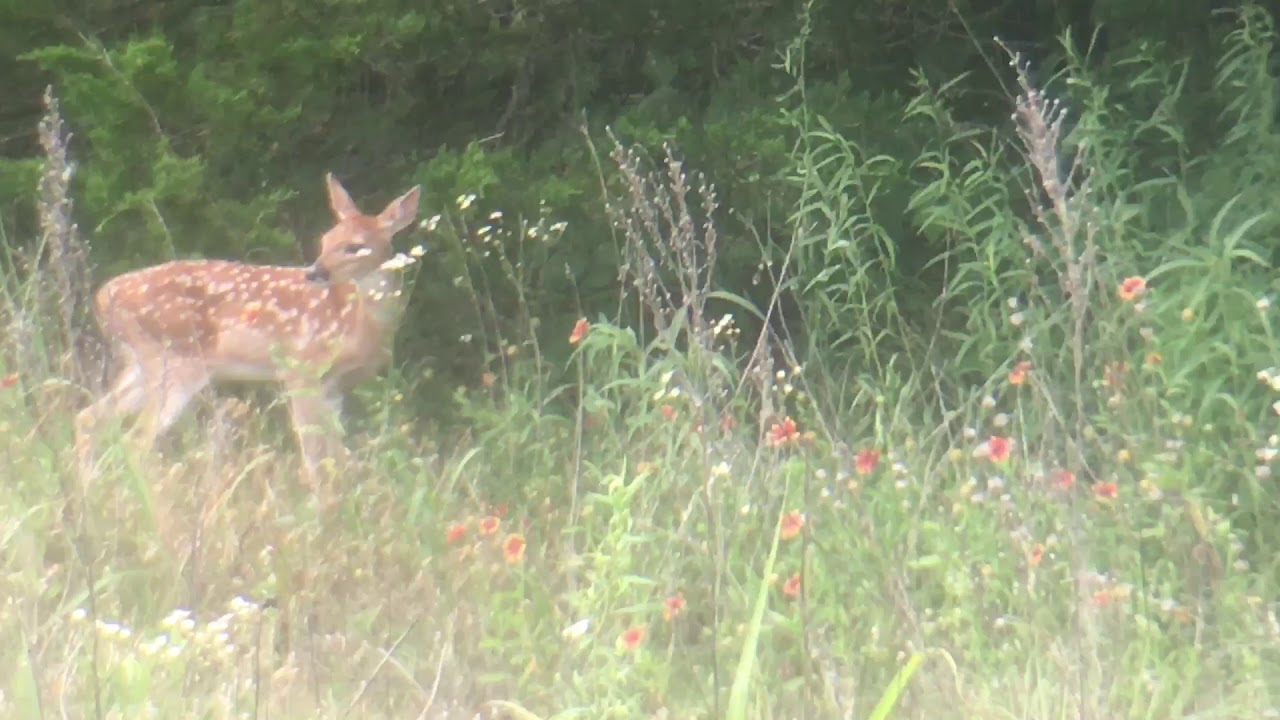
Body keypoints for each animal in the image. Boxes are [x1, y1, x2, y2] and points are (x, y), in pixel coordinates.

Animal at [74, 173, 422, 483]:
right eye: (326, 240)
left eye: (356, 246)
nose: (315, 272)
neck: (357, 324)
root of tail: (102, 296)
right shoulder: (300, 368)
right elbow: (313, 456)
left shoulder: (334, 385)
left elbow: (336, 455)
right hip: (176, 362)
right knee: (135, 441)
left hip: (143, 363)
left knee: (89, 418)